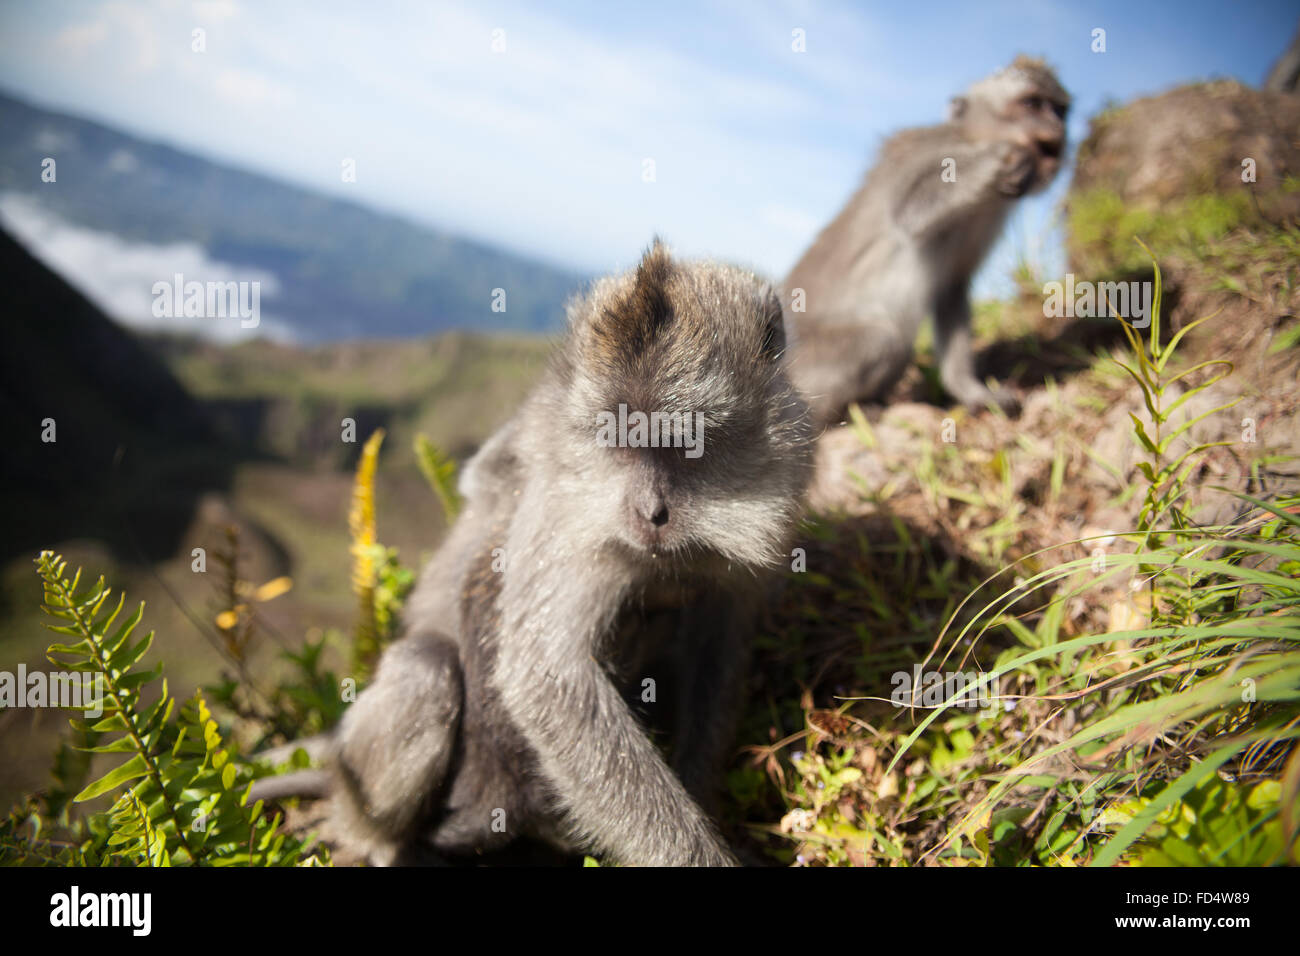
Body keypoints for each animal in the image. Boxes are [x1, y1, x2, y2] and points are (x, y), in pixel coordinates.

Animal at [250, 241, 814, 866]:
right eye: (616, 435)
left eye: (686, 439)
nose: (649, 511)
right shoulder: (567, 516)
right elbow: (548, 677)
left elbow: (719, 645)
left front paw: (702, 786)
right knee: (426, 669)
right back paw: (382, 843)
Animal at [784, 55, 1070, 425]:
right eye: (1032, 103)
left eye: (1060, 109)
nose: (1058, 127)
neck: (971, 138)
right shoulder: (931, 148)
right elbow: (909, 210)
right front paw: (1000, 155)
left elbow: (951, 289)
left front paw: (971, 390)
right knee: (881, 340)